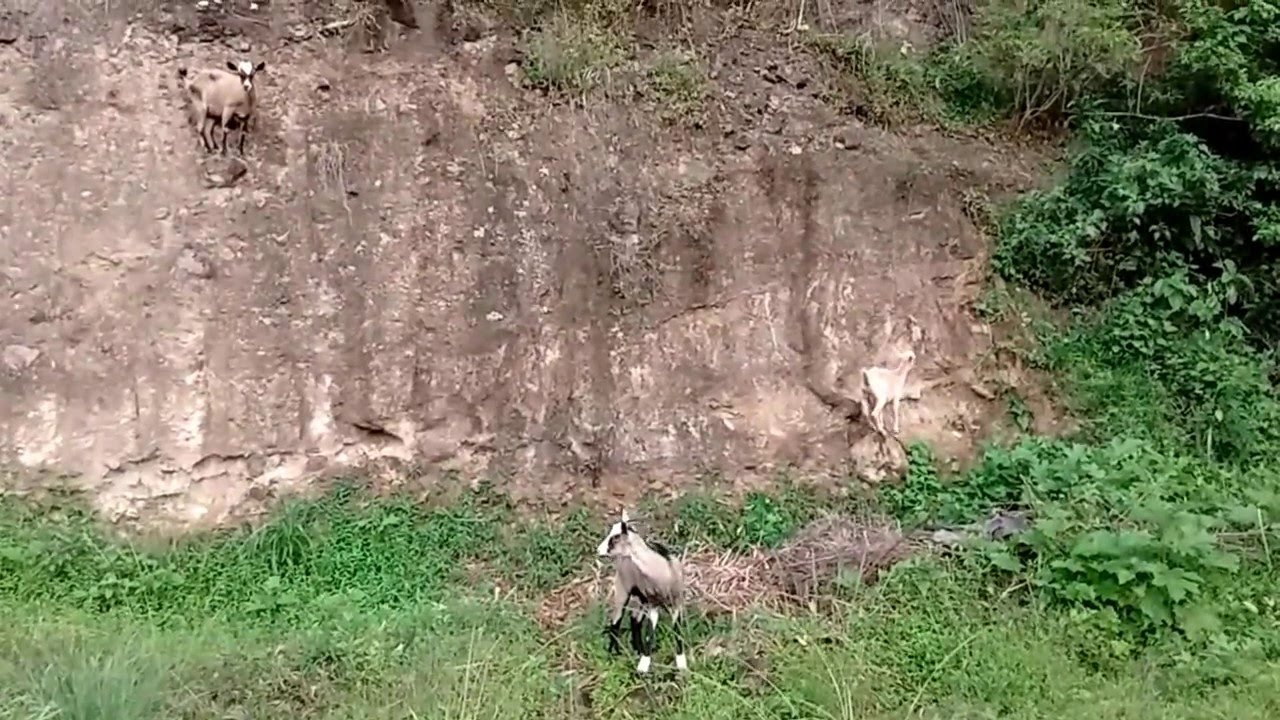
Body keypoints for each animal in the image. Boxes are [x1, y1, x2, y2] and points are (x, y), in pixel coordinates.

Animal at [596, 508, 688, 674]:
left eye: (615, 537)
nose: (598, 550)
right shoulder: (653, 604)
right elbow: (650, 633)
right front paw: (643, 666)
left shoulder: (677, 602)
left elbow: (677, 630)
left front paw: (682, 664)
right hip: (623, 589)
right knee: (616, 621)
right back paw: (614, 654)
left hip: (641, 598)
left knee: (635, 620)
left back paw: (637, 649)